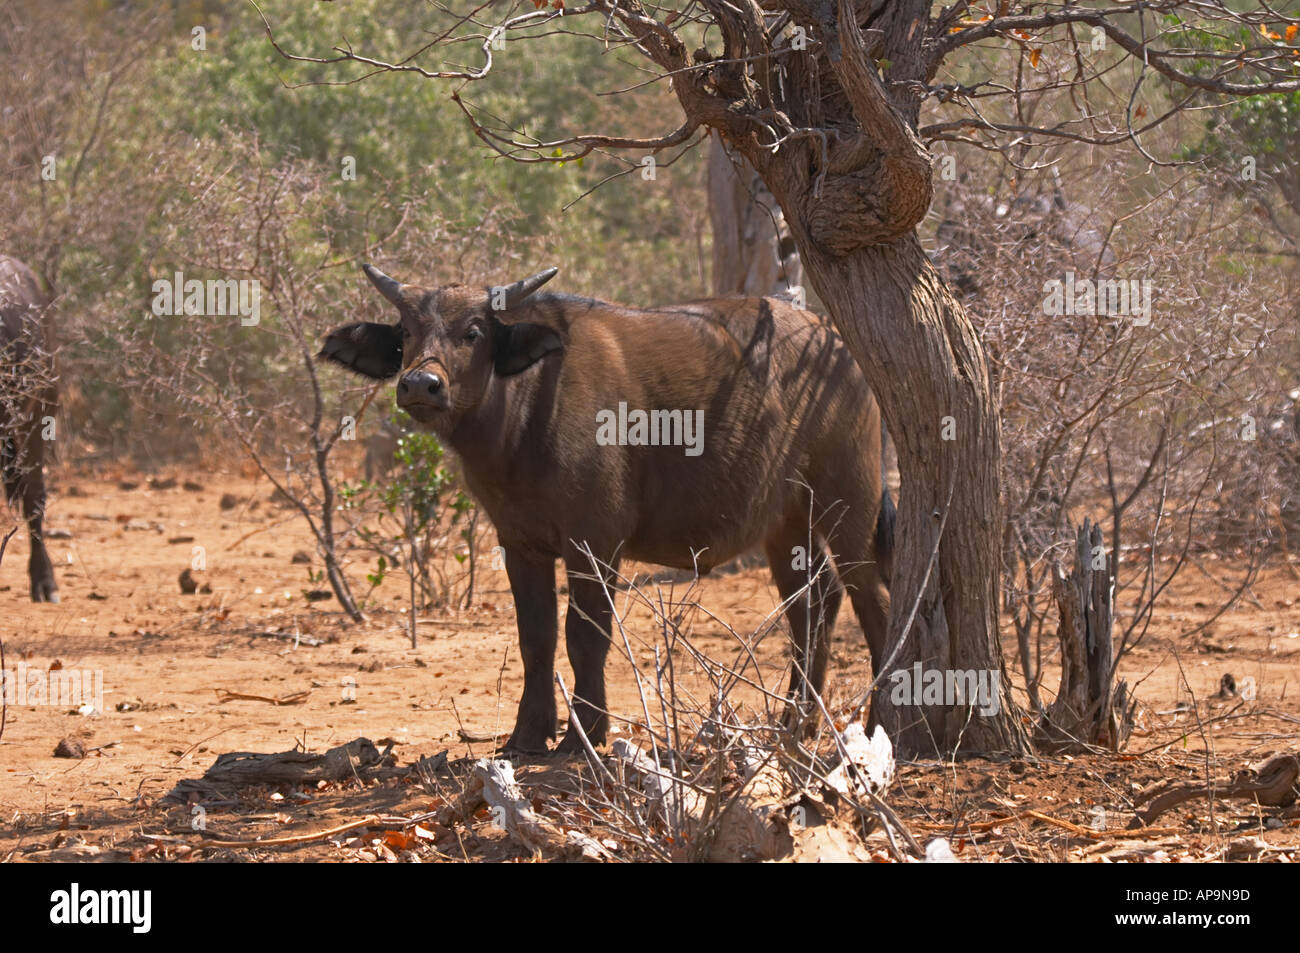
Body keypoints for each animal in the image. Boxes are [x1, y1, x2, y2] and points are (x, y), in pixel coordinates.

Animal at [320, 264, 893, 754]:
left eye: (475, 332)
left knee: (873, 599)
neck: (522, 418)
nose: (421, 384)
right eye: (406, 331)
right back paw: (797, 722)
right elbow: (535, 638)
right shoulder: (519, 544)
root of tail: (838, 348)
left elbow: (585, 635)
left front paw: (584, 735)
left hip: (848, 503)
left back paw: (875, 722)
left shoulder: (594, 542)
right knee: (813, 601)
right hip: (786, 522)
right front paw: (527, 736)